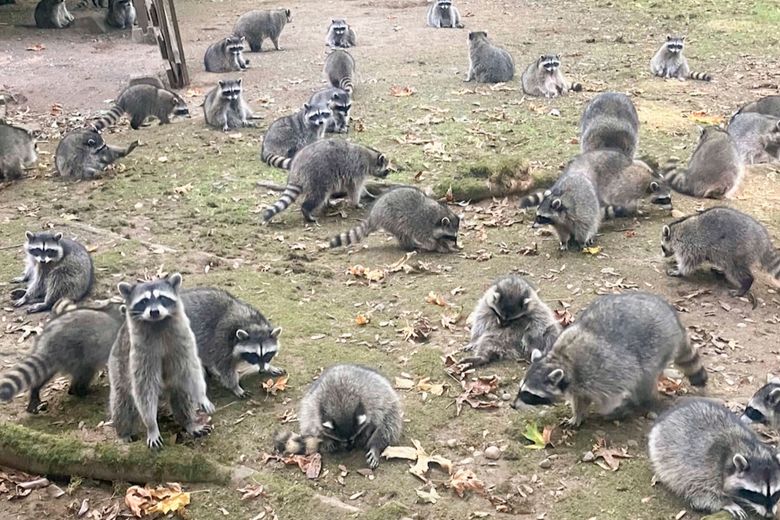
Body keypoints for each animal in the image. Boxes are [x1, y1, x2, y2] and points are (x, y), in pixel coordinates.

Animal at [109, 274, 215, 448]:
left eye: (162, 298)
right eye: (144, 301)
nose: (154, 312)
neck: (157, 323)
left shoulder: (184, 340)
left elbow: (192, 370)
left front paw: (202, 396)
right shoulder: (140, 353)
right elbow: (144, 388)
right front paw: (151, 425)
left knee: (182, 393)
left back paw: (188, 422)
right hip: (117, 366)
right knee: (122, 402)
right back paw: (124, 432)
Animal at [273, 364, 402, 469]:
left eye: (353, 437)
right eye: (343, 440)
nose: (349, 448)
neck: (341, 402)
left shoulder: (375, 400)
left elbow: (385, 422)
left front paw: (374, 444)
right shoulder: (315, 407)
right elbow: (311, 425)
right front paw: (326, 438)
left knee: (390, 420)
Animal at [329, 186, 460, 253]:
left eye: (455, 237)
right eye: (451, 237)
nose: (456, 245)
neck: (439, 215)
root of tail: (374, 214)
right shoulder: (422, 225)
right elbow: (428, 240)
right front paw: (438, 246)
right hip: (391, 218)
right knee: (403, 233)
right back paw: (410, 246)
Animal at [513, 292, 706, 427]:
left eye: (528, 394)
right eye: (520, 389)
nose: (513, 406)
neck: (561, 360)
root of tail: (674, 319)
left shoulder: (605, 370)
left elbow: (611, 397)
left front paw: (615, 409)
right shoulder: (578, 383)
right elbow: (580, 398)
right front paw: (578, 415)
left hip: (659, 345)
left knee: (644, 378)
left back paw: (642, 401)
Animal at [649, 398, 780, 519]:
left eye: (776, 494)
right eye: (757, 495)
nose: (769, 515)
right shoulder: (706, 469)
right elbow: (701, 493)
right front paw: (727, 503)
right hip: (661, 448)